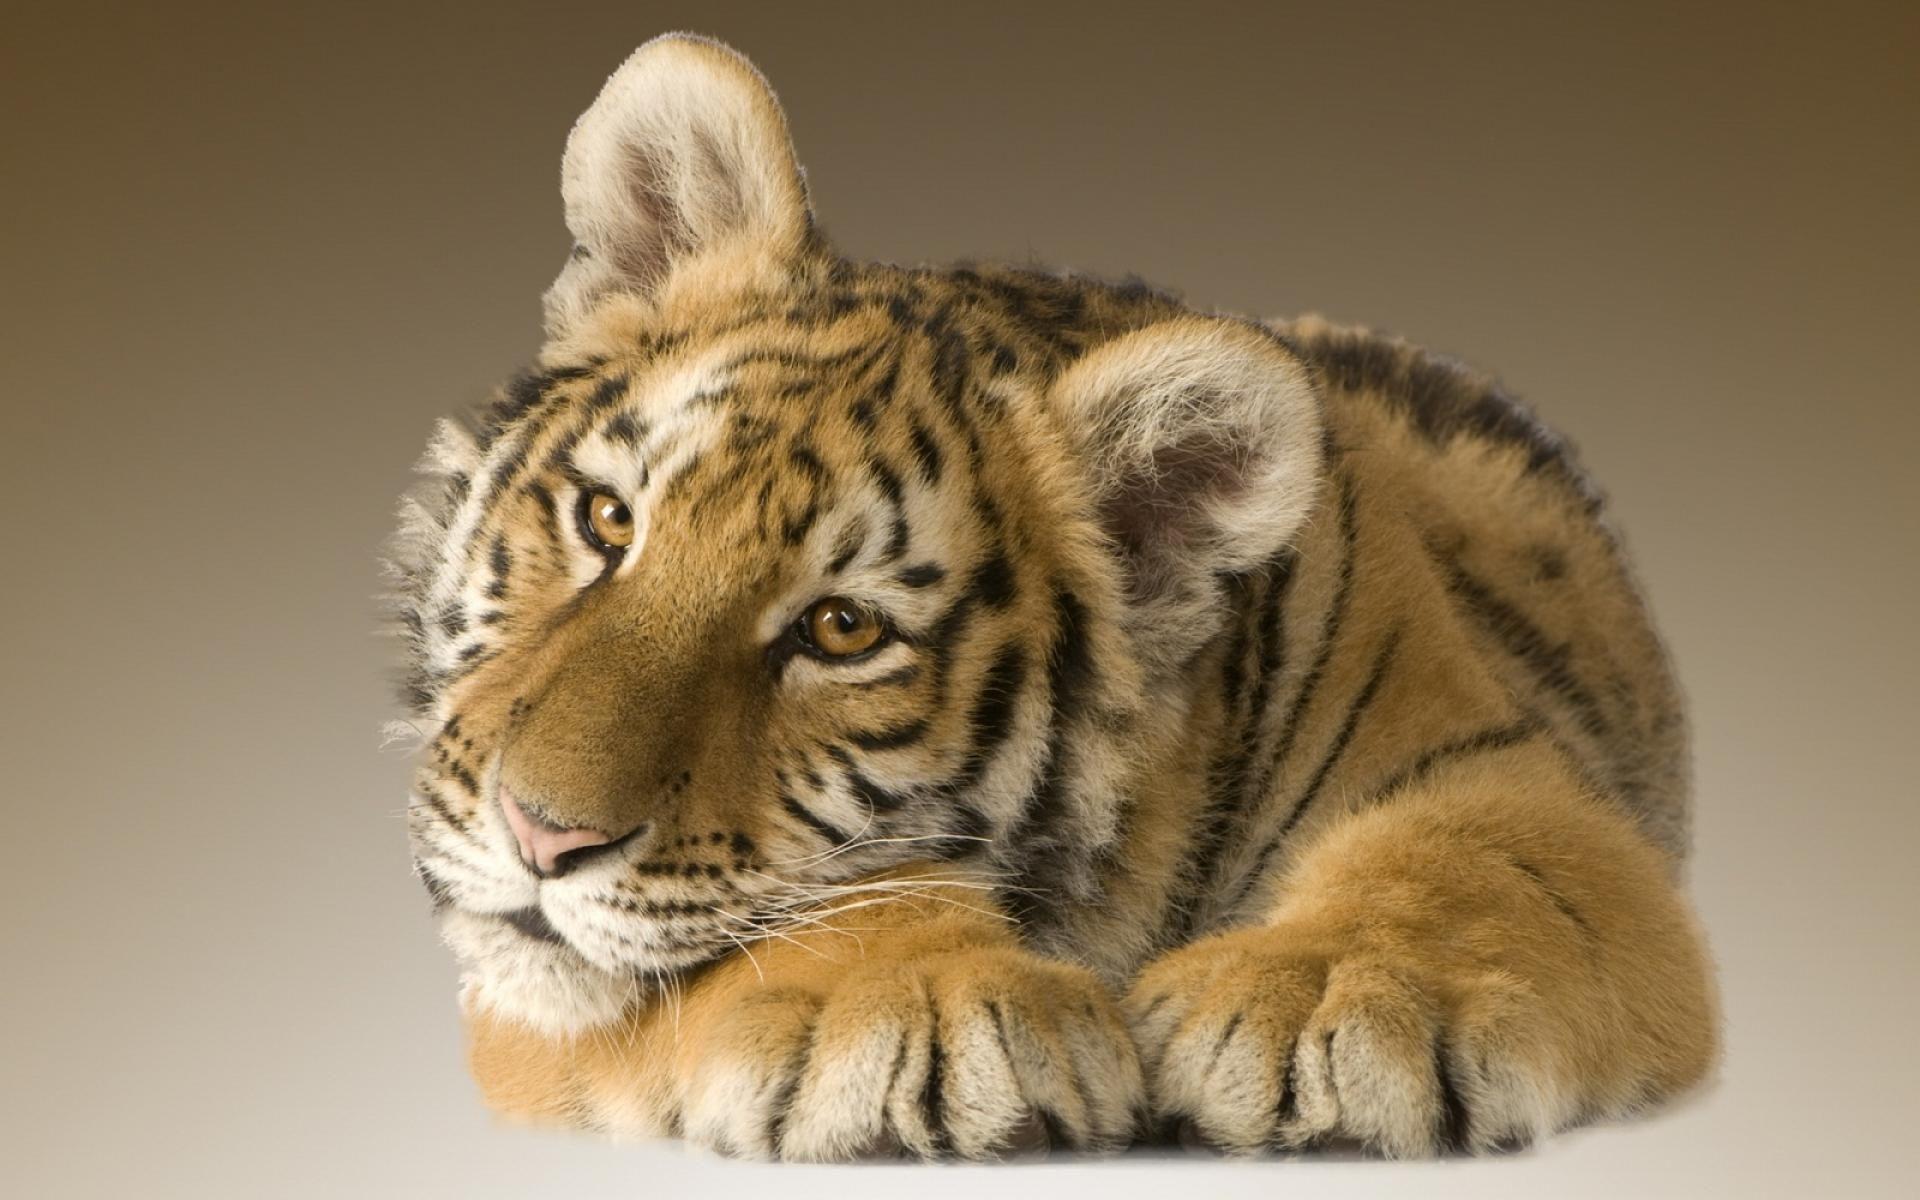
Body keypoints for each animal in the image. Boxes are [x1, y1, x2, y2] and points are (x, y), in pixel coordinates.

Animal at [391, 33, 1718, 1161]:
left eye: (842, 629)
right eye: (608, 521)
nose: (540, 837)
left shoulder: (1517, 780)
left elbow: (1472, 868)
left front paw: (1324, 996)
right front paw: (929, 1001)